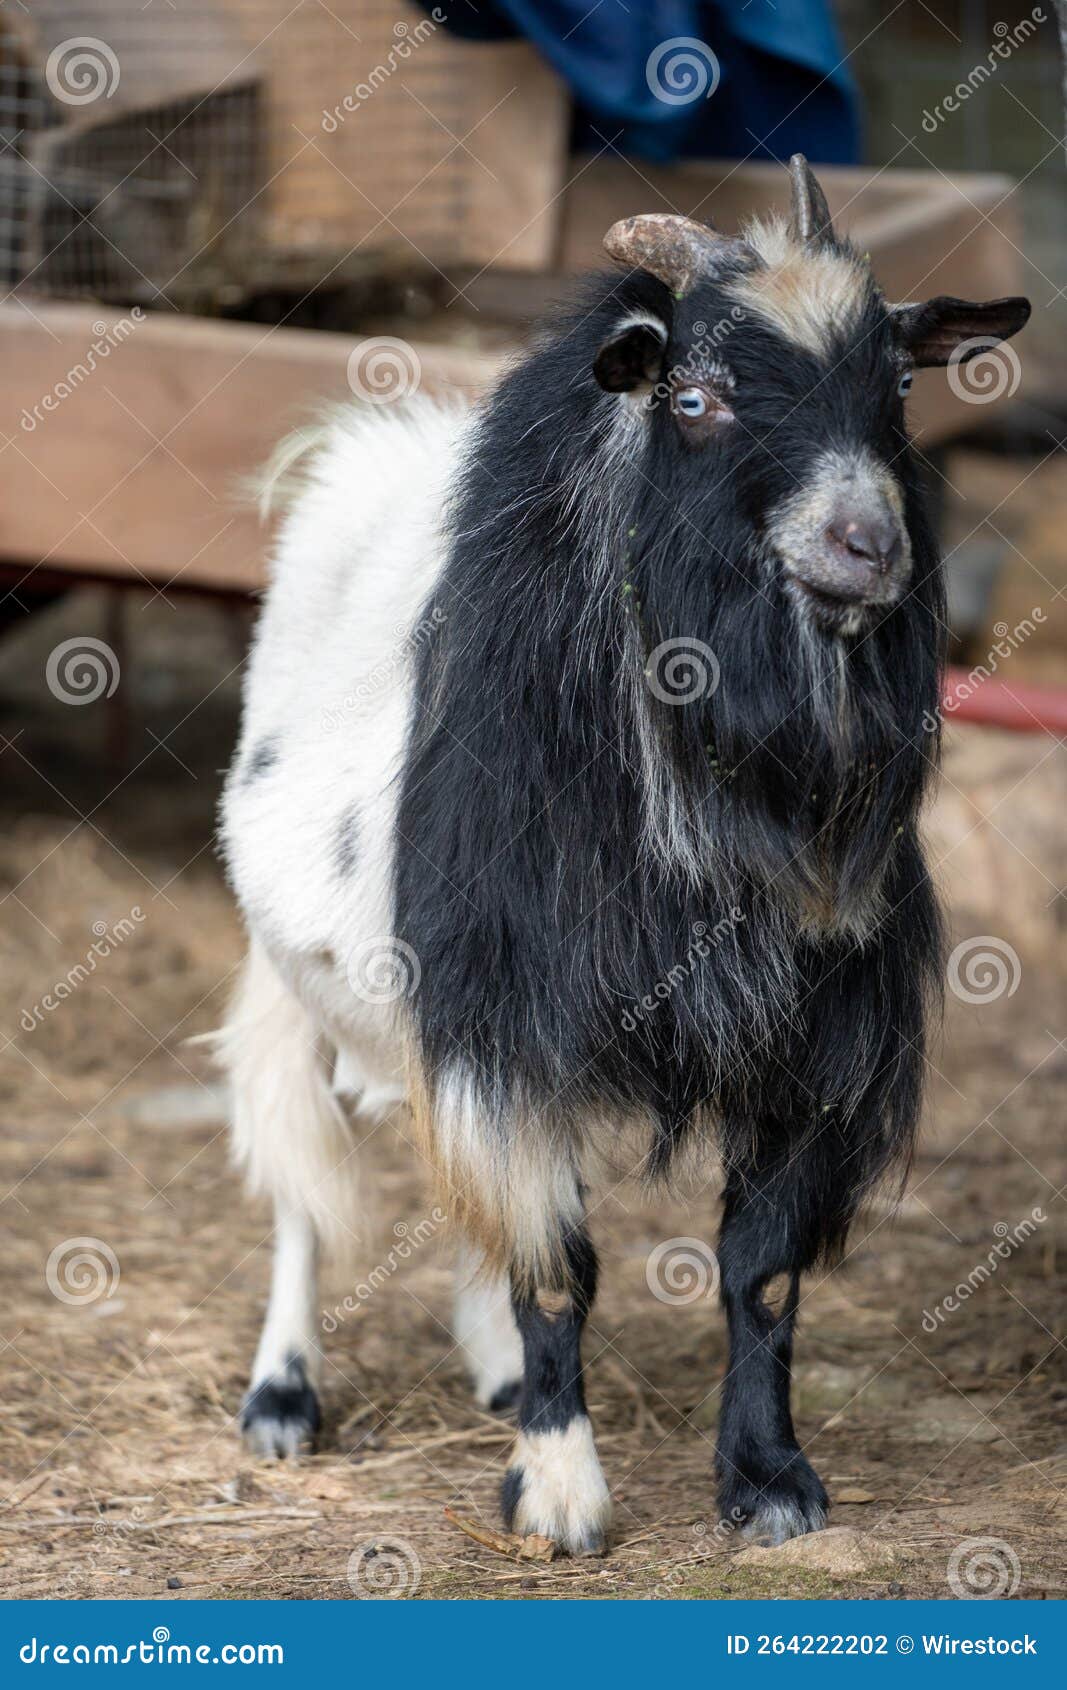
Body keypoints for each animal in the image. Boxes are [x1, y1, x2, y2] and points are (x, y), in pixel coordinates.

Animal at [219, 157, 1029, 1553]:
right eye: (693, 397)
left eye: (898, 387)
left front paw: (767, 1479)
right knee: (301, 1189)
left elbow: (757, 1271)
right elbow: (559, 1271)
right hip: (295, 984)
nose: (868, 545)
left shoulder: (808, 1042)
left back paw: (488, 1370)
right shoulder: (501, 1017)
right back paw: (283, 1395)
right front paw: (557, 1494)